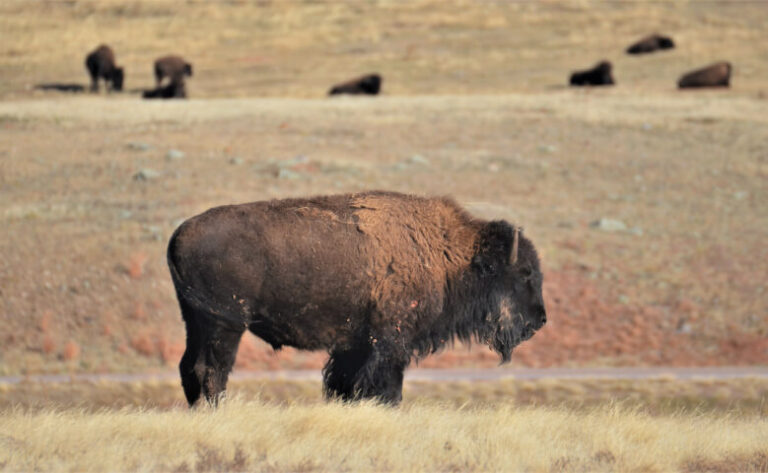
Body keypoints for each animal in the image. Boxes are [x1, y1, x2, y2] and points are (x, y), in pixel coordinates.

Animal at [168, 191, 546, 406]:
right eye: (525, 272)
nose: (540, 319)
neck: (447, 255)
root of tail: (178, 236)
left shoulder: (354, 345)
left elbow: (344, 384)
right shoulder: (390, 343)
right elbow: (386, 387)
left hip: (195, 322)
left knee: (190, 366)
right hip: (224, 325)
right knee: (211, 370)